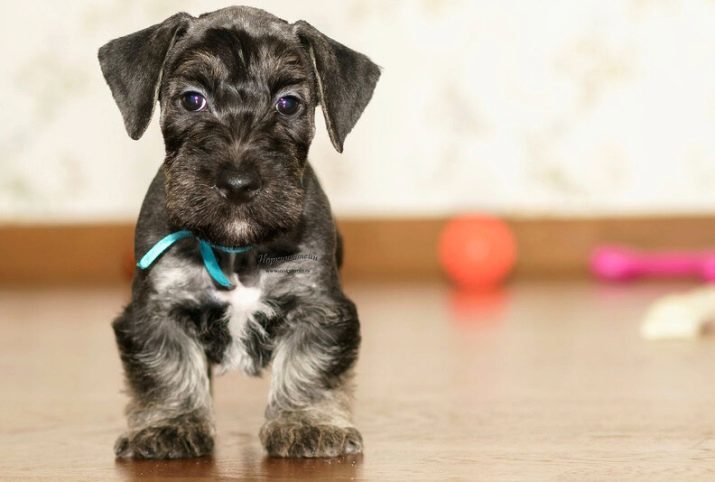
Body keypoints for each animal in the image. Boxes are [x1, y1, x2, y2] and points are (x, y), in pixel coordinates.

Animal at [98, 6, 384, 460]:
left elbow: (308, 365)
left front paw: (307, 424)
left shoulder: (317, 307)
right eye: (192, 99)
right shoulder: (157, 310)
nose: (237, 183)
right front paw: (169, 427)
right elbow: (168, 368)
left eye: (289, 104)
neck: (237, 249)